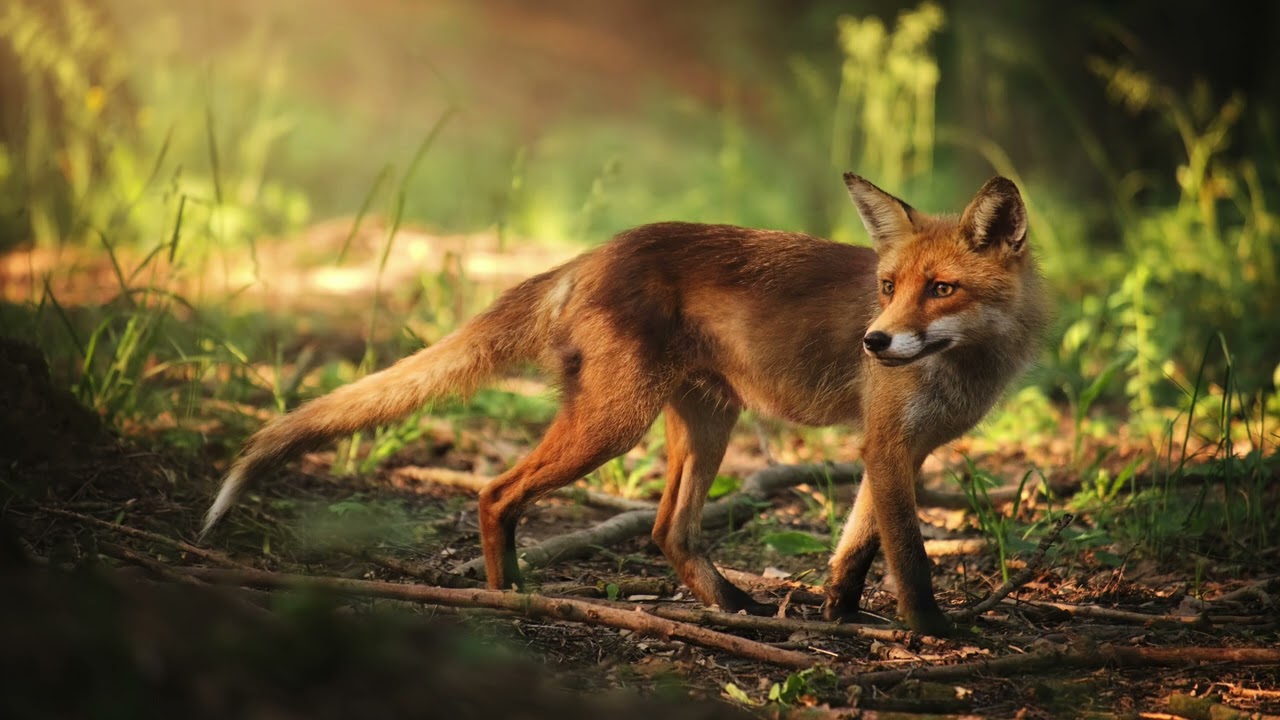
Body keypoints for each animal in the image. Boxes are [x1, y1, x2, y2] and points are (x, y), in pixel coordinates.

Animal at [201, 172, 1048, 635]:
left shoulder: (897, 449)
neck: (967, 366)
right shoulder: (886, 444)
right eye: (887, 286)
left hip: (706, 423)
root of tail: (594, 251)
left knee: (667, 530)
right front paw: (932, 632)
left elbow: (856, 550)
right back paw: (506, 600)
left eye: (941, 288)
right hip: (614, 425)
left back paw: (731, 605)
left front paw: (840, 616)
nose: (874, 342)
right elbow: (909, 557)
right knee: (495, 492)